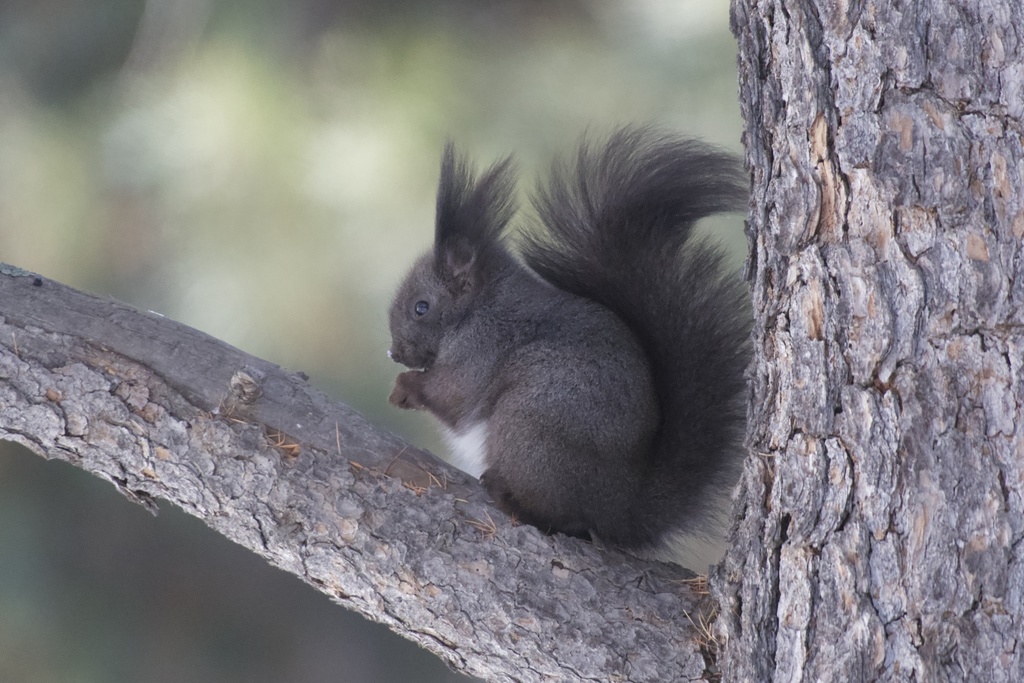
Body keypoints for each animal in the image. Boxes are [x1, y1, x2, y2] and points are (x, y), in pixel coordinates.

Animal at [387, 126, 750, 567]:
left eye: (421, 307)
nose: (394, 353)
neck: (478, 308)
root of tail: (620, 504)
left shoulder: (481, 350)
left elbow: (453, 398)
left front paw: (406, 387)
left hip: (528, 428)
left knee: (566, 519)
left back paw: (509, 498)